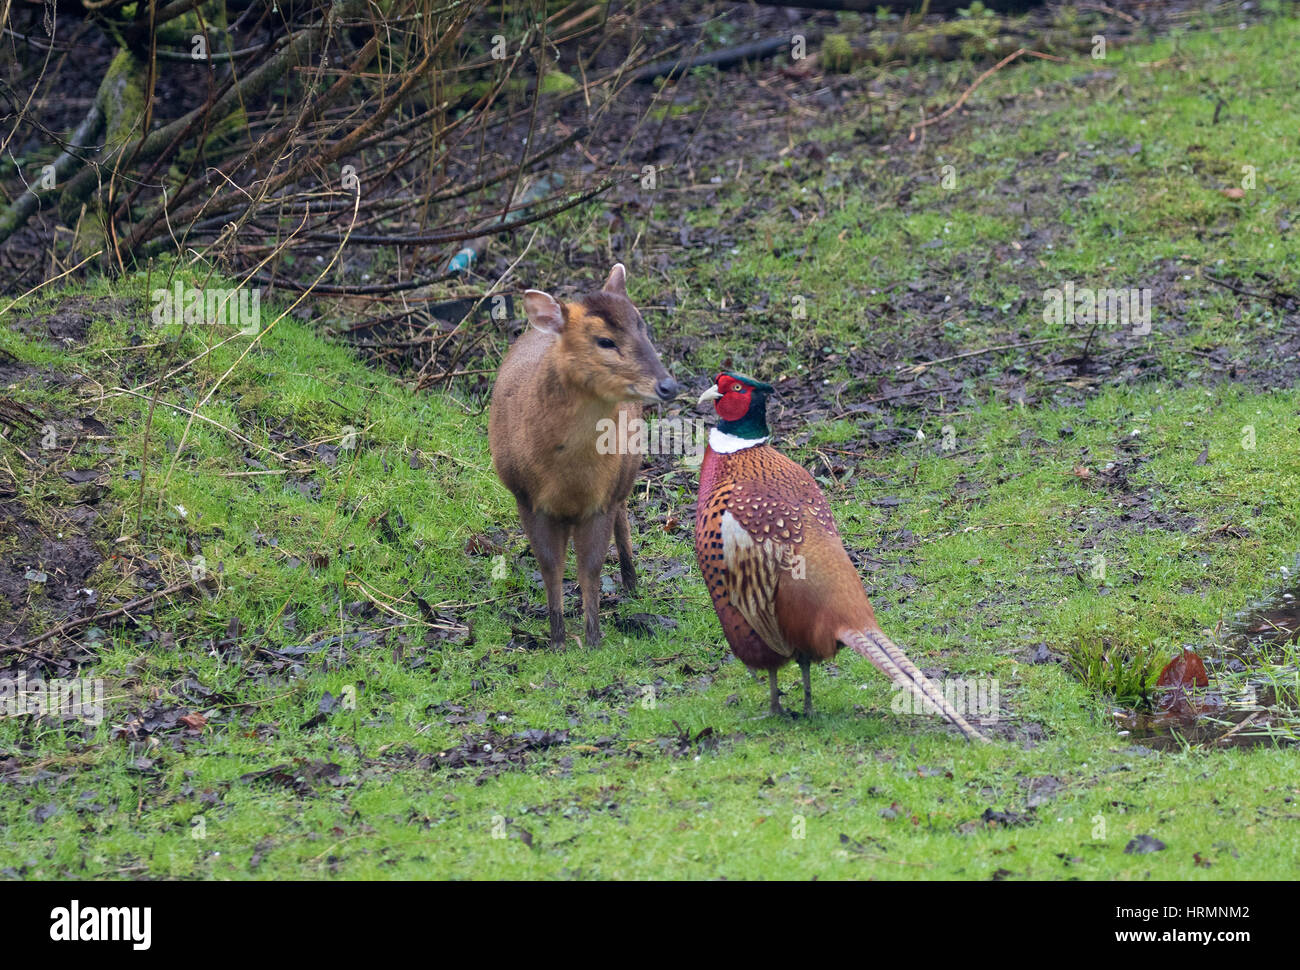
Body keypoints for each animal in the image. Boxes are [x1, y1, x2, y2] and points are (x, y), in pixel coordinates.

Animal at [489, 263, 681, 649]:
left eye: (642, 325)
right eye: (604, 341)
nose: (668, 385)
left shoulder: (600, 502)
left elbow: (589, 567)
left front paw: (592, 638)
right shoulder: (527, 498)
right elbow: (551, 566)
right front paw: (558, 638)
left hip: (625, 474)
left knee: (623, 515)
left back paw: (631, 582)